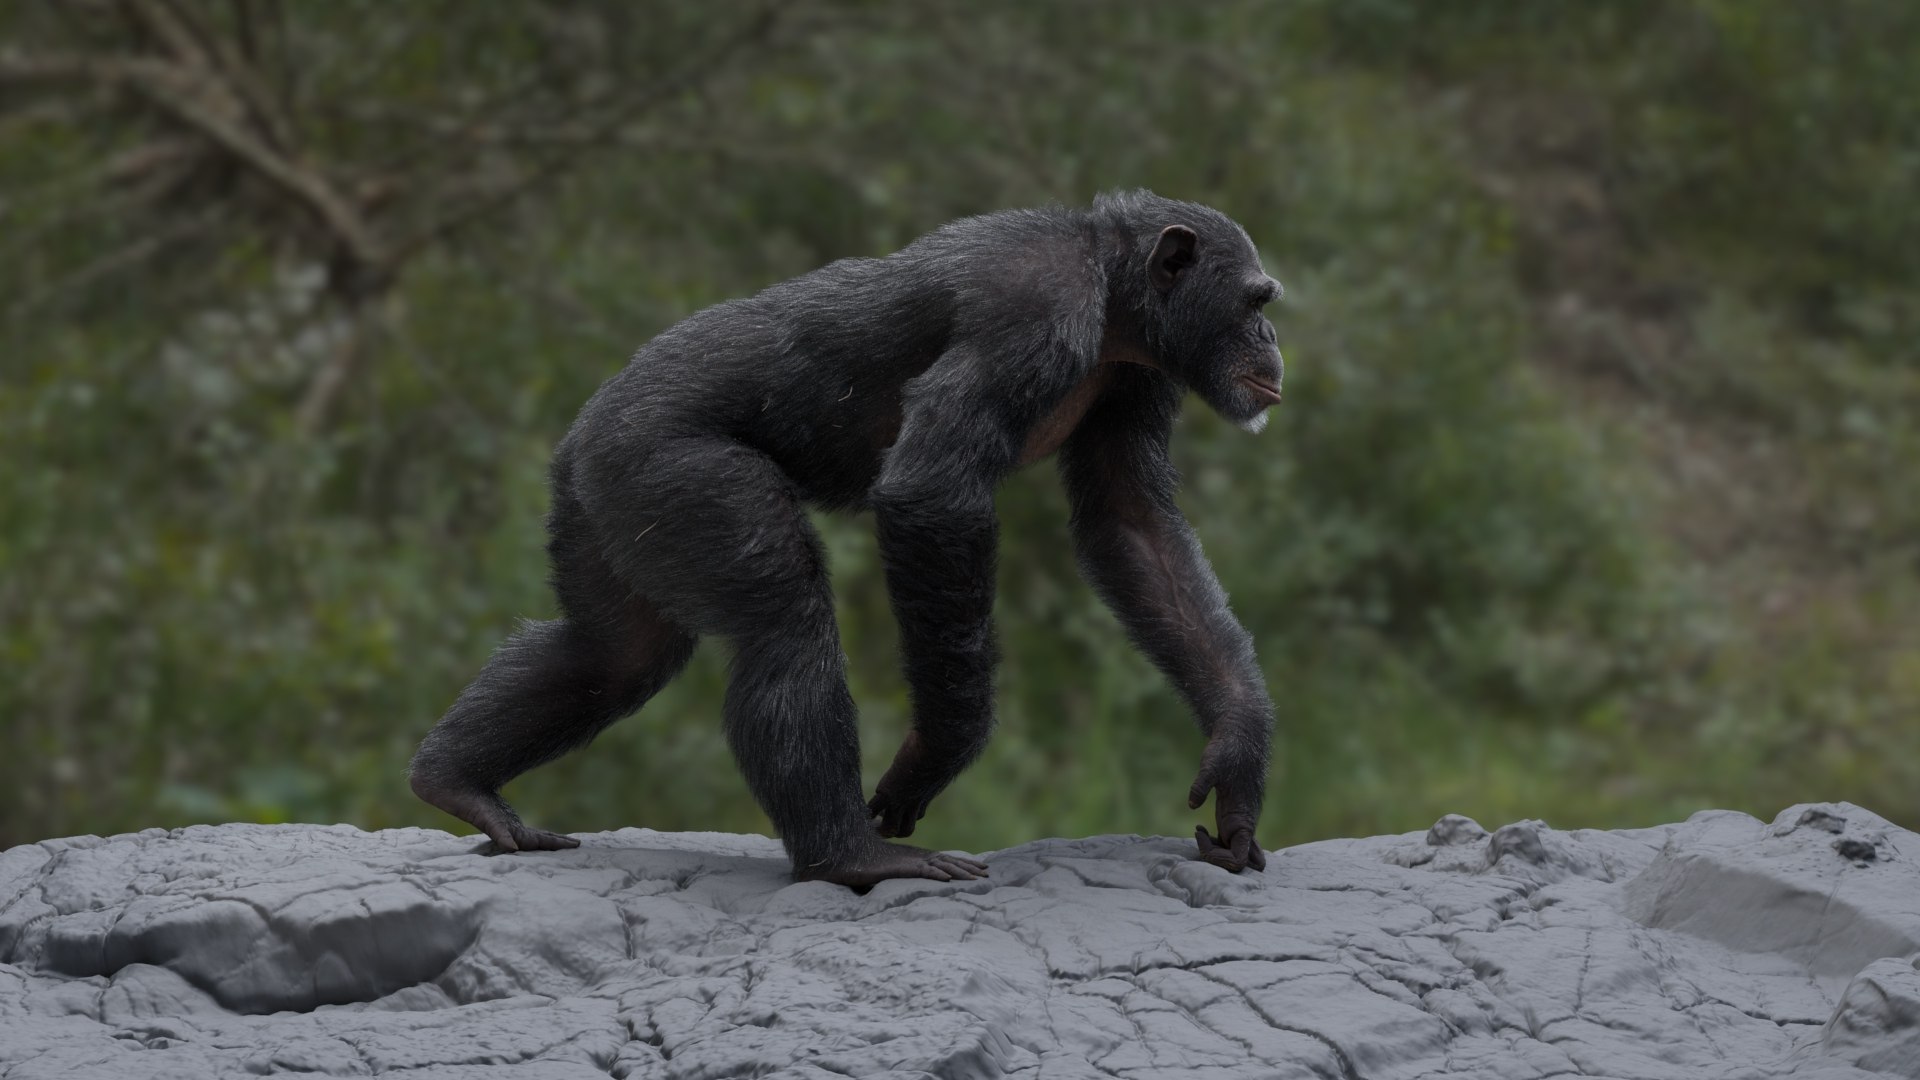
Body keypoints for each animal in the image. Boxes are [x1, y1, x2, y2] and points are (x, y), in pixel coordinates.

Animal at [408, 189, 1284, 888]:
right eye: (1256, 302)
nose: (1275, 343)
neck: (1113, 294)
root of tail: (585, 430)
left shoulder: (1139, 380)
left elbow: (1132, 528)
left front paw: (1236, 757)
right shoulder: (1035, 313)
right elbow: (931, 489)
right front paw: (934, 754)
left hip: (604, 507)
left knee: (611, 654)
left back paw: (457, 782)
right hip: (671, 469)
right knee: (783, 625)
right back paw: (850, 854)